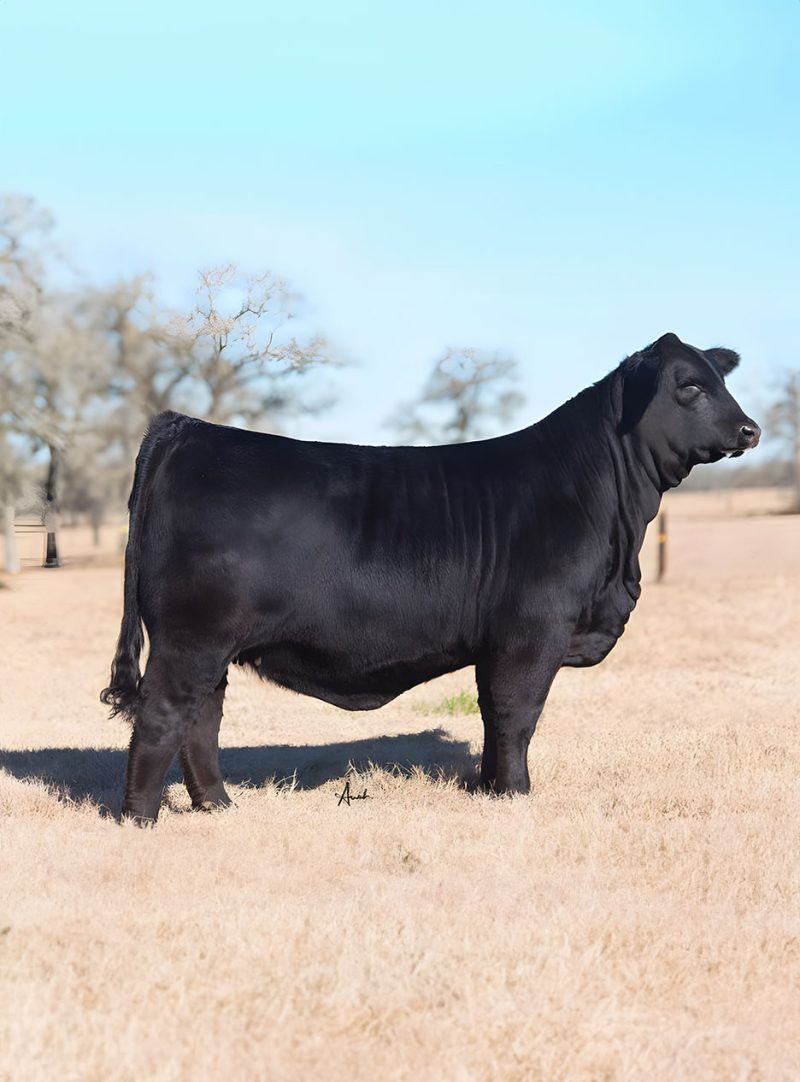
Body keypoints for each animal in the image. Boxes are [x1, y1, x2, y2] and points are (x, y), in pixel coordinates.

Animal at [101, 332, 760, 822]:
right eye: (690, 386)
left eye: (723, 380)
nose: (750, 430)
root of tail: (186, 428)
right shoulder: (531, 633)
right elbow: (515, 714)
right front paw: (512, 793)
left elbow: (497, 716)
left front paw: (489, 788)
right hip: (190, 636)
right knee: (163, 715)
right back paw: (139, 819)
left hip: (211, 646)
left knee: (201, 719)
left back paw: (218, 805)